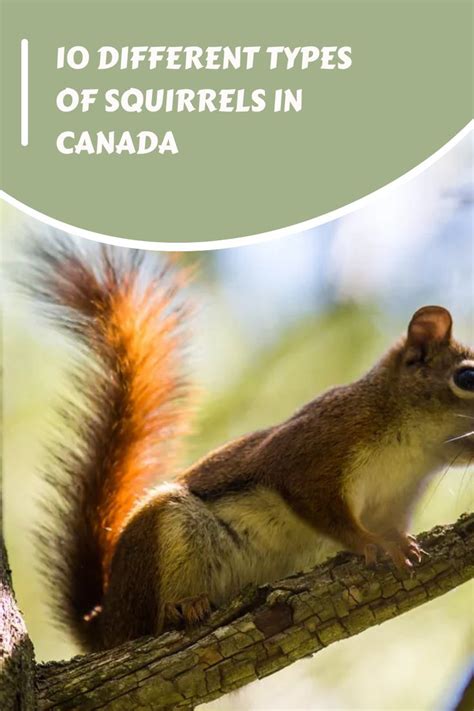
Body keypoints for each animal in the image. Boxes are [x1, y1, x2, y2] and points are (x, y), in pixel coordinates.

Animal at [26, 239, 474, 654]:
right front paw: (371, 543)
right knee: (148, 622)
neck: (411, 453)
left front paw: (398, 542)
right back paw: (180, 608)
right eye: (467, 378)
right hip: (166, 534)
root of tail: (107, 624)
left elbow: (386, 524)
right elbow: (319, 505)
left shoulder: (394, 499)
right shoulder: (318, 445)